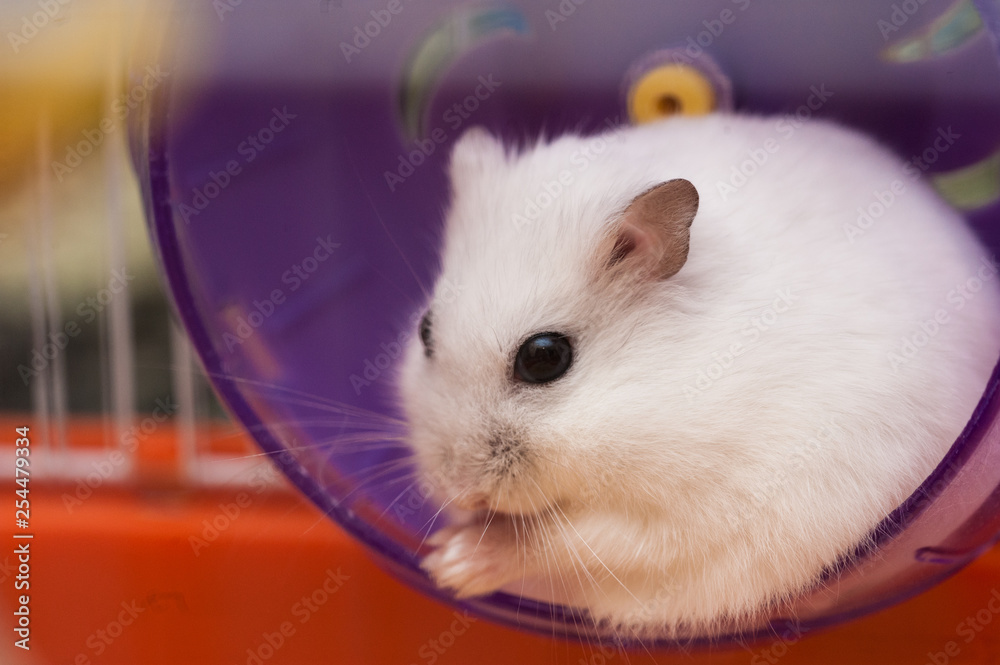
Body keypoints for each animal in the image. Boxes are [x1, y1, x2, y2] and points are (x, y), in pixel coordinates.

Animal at [396, 114, 1000, 638]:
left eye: (544, 357)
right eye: (425, 330)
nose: (455, 489)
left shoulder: (685, 514)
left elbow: (565, 539)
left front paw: (450, 564)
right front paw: (441, 549)